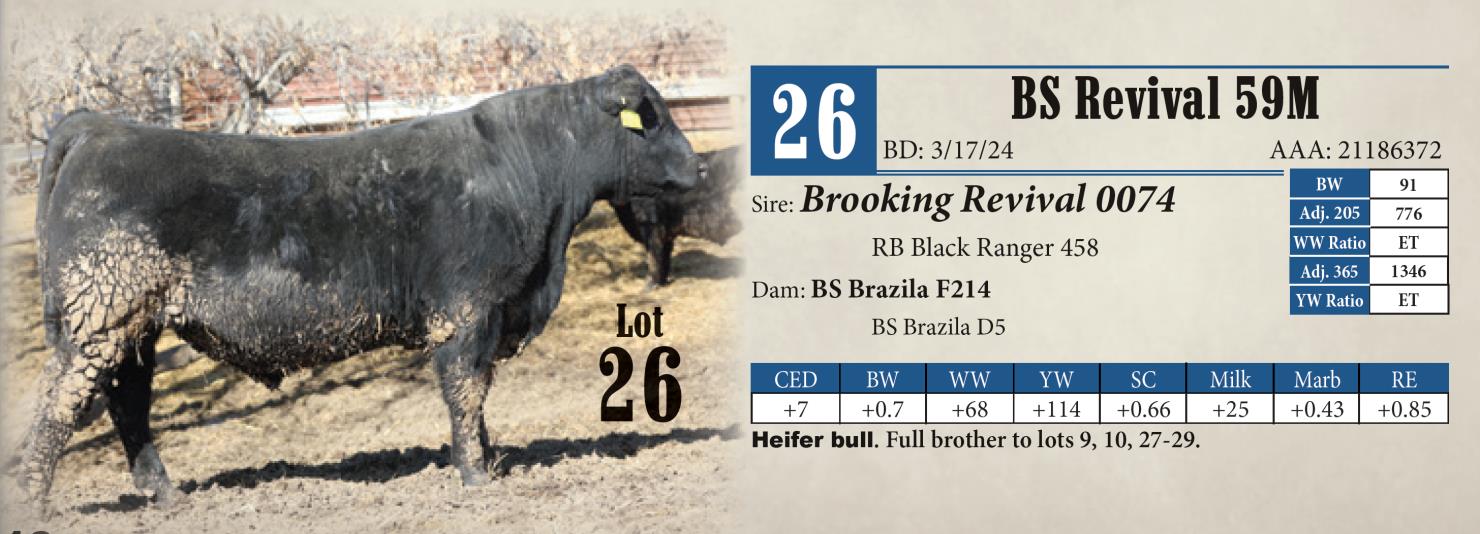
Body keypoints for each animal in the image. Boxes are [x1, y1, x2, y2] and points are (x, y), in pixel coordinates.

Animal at [17, 64, 701, 511]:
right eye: (652, 118)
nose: (697, 168)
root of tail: (100, 127)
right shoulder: (468, 311)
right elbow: (465, 391)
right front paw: (474, 476)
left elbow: (478, 396)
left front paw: (487, 459)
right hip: (100, 316)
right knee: (56, 405)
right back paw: (34, 504)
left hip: (133, 326)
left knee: (127, 403)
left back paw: (167, 496)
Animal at [610, 146, 741, 287]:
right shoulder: (665, 234)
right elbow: (664, 258)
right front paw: (662, 282)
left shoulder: (652, 228)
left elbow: (654, 257)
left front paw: (649, 285)